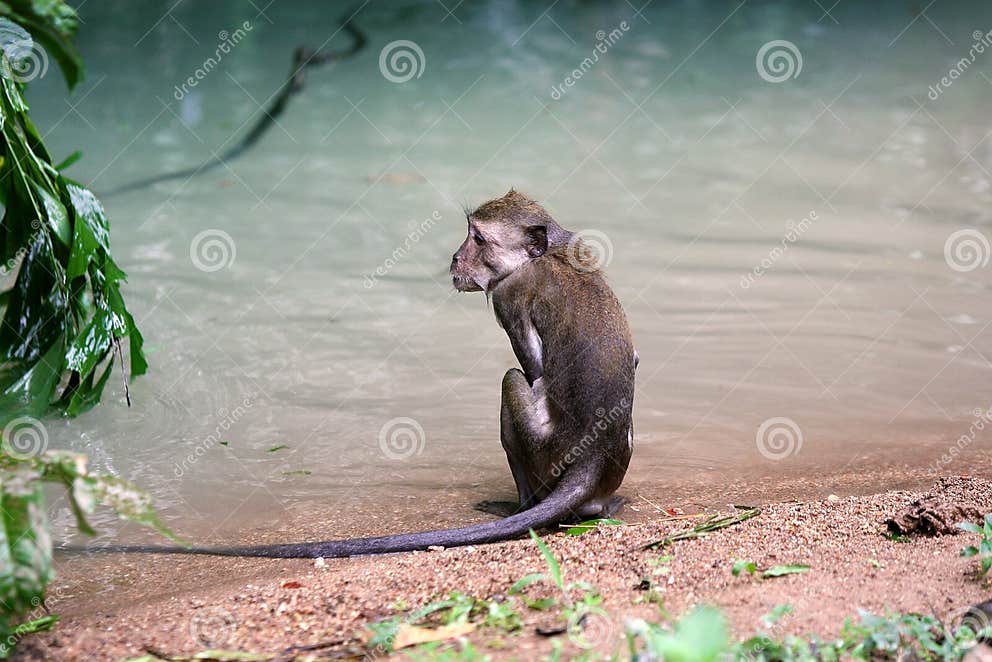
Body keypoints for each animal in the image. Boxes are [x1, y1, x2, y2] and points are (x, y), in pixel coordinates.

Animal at [87, 190, 636, 559]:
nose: (455, 256)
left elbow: (533, 370)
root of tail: (589, 465)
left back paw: (519, 507)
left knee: (510, 380)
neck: (549, 254)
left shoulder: (508, 295)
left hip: (546, 451)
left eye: (478, 239)